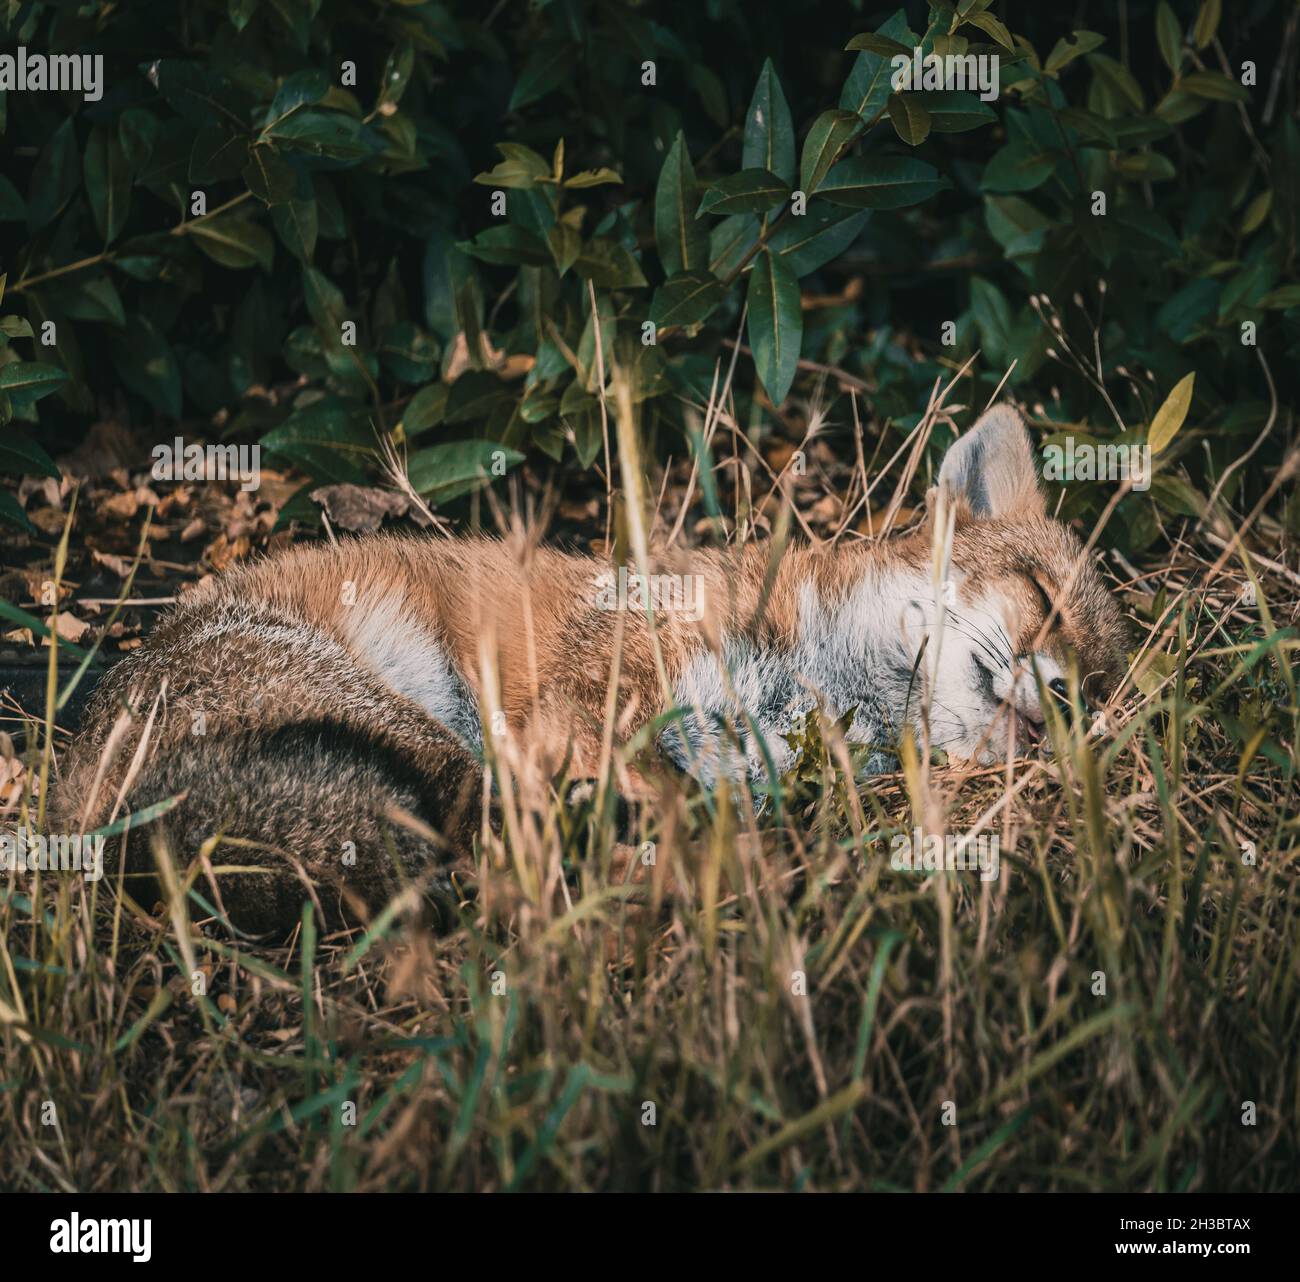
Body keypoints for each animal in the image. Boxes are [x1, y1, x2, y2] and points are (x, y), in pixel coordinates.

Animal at [56, 404, 1128, 934]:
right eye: (1042, 595)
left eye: (1104, 685)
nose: (1068, 700)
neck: (811, 687)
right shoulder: (601, 694)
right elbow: (663, 802)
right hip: (427, 735)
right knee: (488, 847)